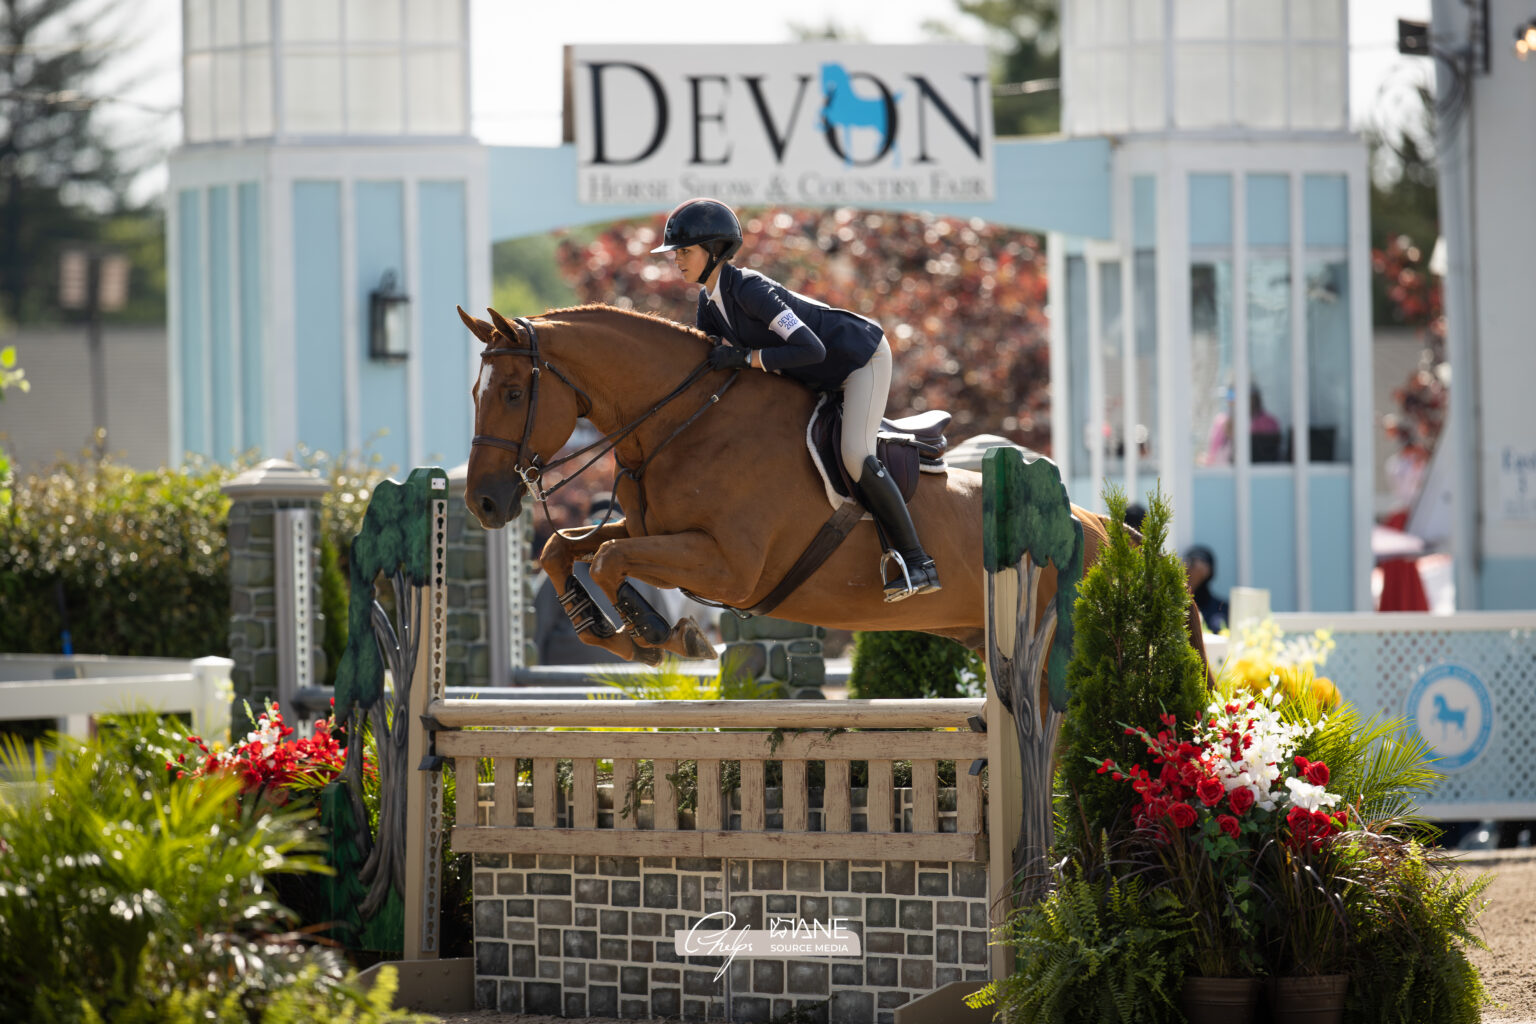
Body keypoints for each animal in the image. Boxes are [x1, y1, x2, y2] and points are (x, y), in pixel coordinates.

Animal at [459, 304, 1212, 678]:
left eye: (514, 392)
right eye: (478, 391)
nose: (484, 503)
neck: (686, 419)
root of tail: (1115, 533)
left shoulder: (729, 566)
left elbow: (611, 559)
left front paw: (662, 635)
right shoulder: (655, 532)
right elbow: (564, 547)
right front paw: (609, 632)